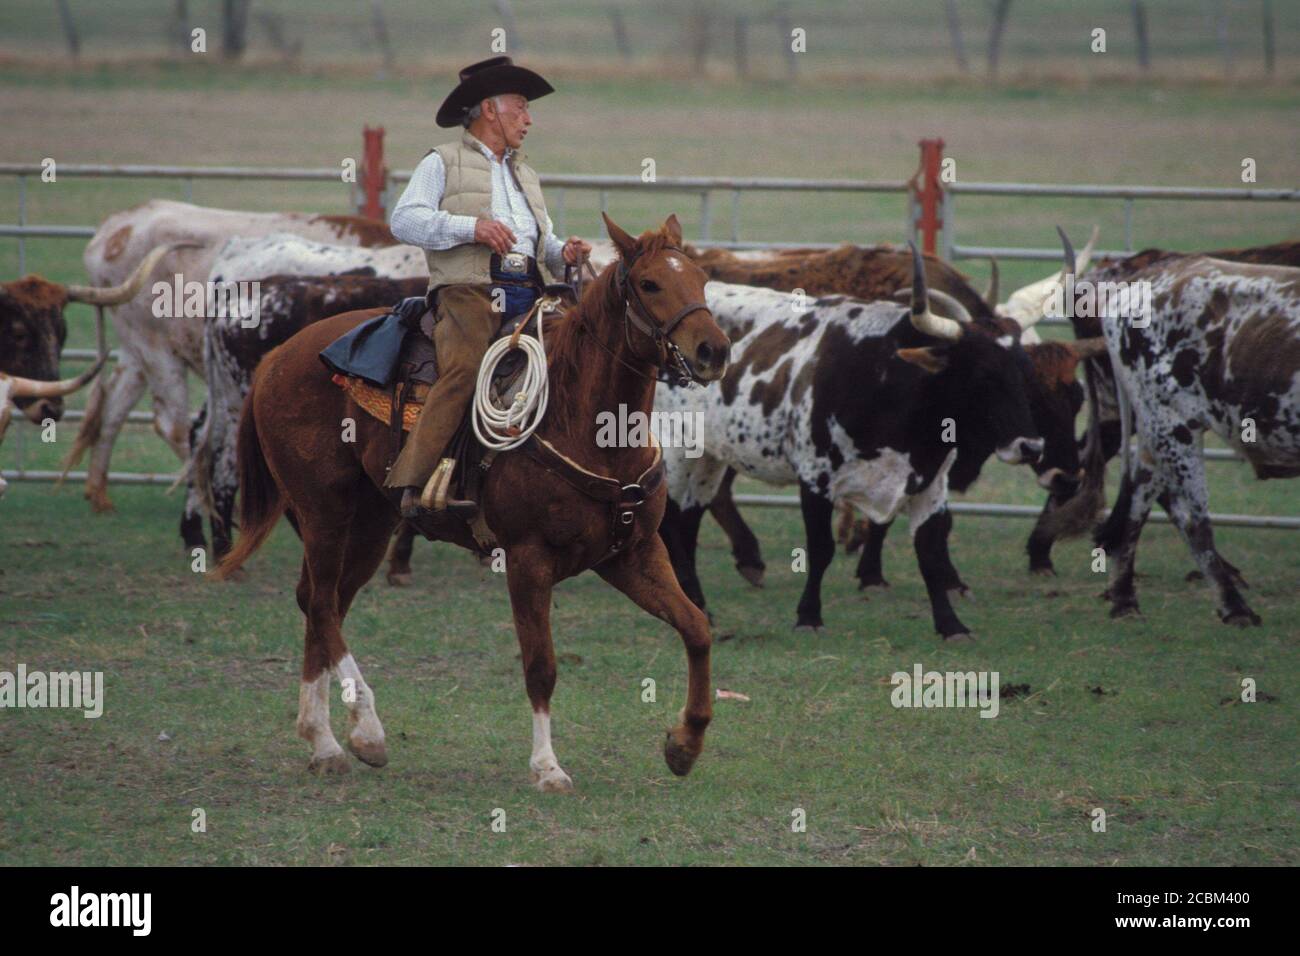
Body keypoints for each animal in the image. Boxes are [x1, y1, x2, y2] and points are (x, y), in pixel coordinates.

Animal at [64, 200, 396, 521]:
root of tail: (116, 225)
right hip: (158, 350)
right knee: (175, 426)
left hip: (137, 353)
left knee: (114, 406)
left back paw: (99, 495)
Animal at [215, 214, 731, 791]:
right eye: (650, 283)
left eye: (701, 279)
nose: (714, 351)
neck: (585, 422)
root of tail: (277, 358)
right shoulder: (527, 559)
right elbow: (541, 666)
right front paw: (547, 766)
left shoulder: (632, 554)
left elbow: (696, 628)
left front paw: (685, 743)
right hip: (323, 511)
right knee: (323, 605)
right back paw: (365, 730)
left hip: (370, 525)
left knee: (320, 603)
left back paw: (322, 739)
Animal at [657, 245, 1048, 640]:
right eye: (983, 373)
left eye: (1026, 371)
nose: (1030, 447)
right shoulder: (815, 478)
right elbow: (821, 549)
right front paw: (809, 616)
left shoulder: (930, 482)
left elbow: (930, 553)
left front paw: (951, 624)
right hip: (675, 450)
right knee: (671, 520)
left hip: (707, 457)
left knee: (692, 516)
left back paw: (698, 602)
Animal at [1051, 232, 1300, 625]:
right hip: (1170, 423)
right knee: (1192, 517)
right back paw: (1235, 606)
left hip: (1151, 425)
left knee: (1137, 490)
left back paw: (1123, 597)